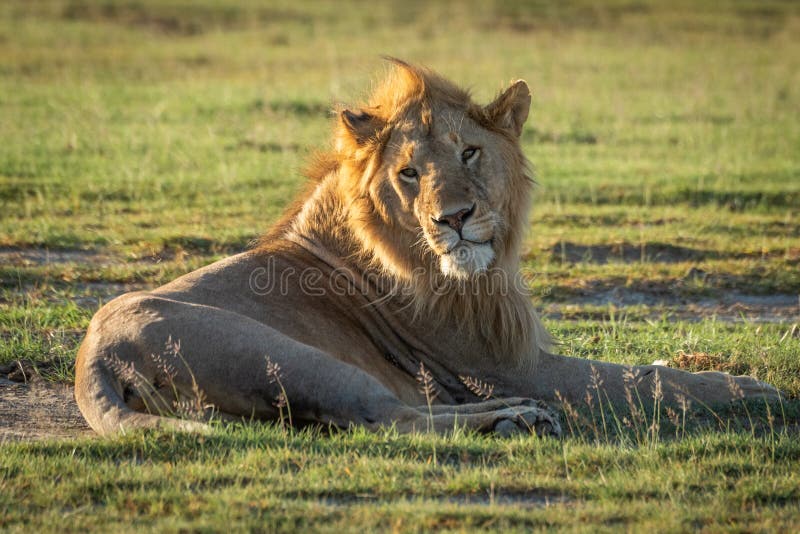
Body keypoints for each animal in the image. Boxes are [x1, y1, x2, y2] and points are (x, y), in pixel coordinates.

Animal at [75, 59, 781, 437]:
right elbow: (645, 380)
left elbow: (646, 371)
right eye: (409, 173)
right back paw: (517, 417)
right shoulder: (509, 363)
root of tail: (94, 360)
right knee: (391, 419)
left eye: (469, 152)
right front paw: (755, 389)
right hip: (294, 357)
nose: (455, 219)